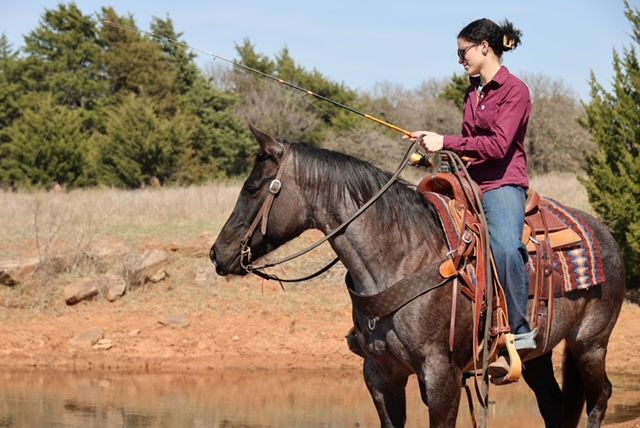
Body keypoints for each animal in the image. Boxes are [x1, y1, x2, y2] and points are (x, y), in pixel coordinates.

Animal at [210, 126, 625, 428]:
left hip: (590, 343)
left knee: (600, 396)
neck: (400, 257)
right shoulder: (381, 375)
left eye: (252, 188)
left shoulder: (442, 378)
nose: (218, 253)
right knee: (556, 405)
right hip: (539, 354)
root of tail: (603, 233)